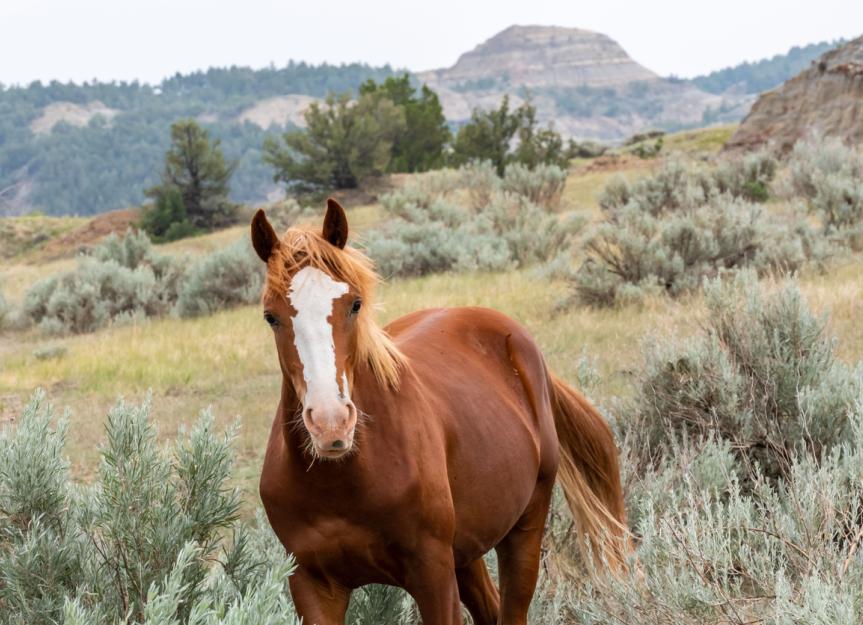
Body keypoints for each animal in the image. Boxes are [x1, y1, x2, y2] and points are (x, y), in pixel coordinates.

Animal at [251, 198, 628, 625]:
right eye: (271, 316)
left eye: (354, 304)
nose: (331, 424)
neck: (344, 481)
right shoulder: (312, 585)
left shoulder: (432, 574)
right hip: (465, 552)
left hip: (525, 524)